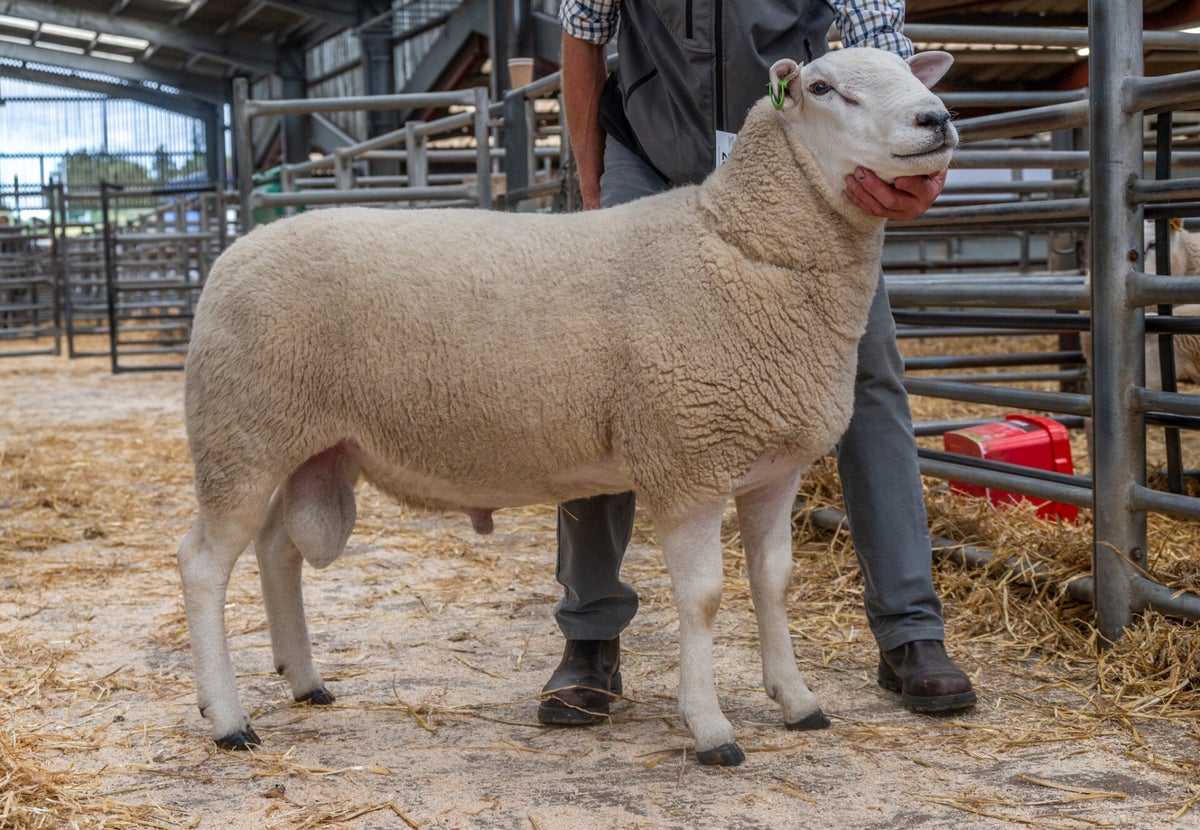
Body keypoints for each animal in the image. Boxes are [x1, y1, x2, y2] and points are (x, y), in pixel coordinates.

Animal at [177, 46, 957, 767]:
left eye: (911, 72)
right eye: (823, 87)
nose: (937, 119)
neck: (741, 246)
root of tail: (236, 249)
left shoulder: (773, 467)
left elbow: (773, 583)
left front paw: (795, 700)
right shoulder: (688, 460)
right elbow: (703, 599)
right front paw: (710, 729)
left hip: (303, 442)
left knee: (276, 547)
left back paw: (303, 679)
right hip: (240, 431)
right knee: (204, 563)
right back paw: (228, 719)